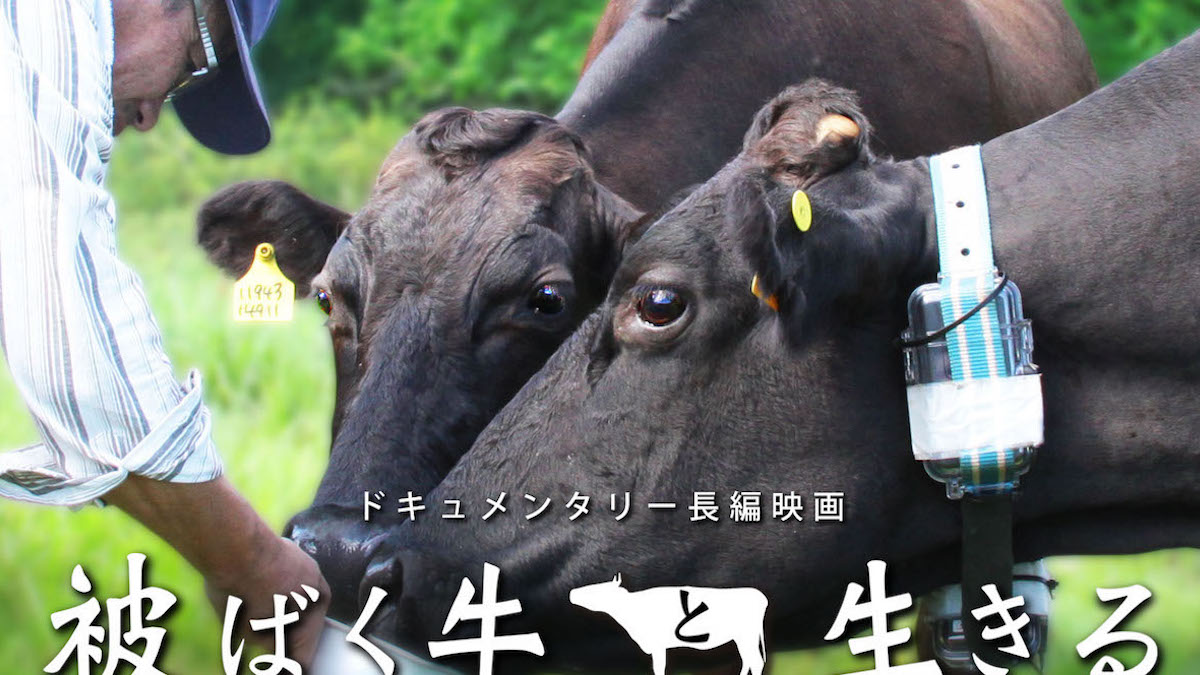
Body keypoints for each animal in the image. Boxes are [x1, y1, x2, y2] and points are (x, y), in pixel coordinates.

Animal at [569, 575, 769, 675]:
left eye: (596, 590)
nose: (571, 593)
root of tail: (758, 595)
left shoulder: (657, 645)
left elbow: (658, 667)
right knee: (748, 659)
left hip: (747, 635)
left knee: (755, 661)